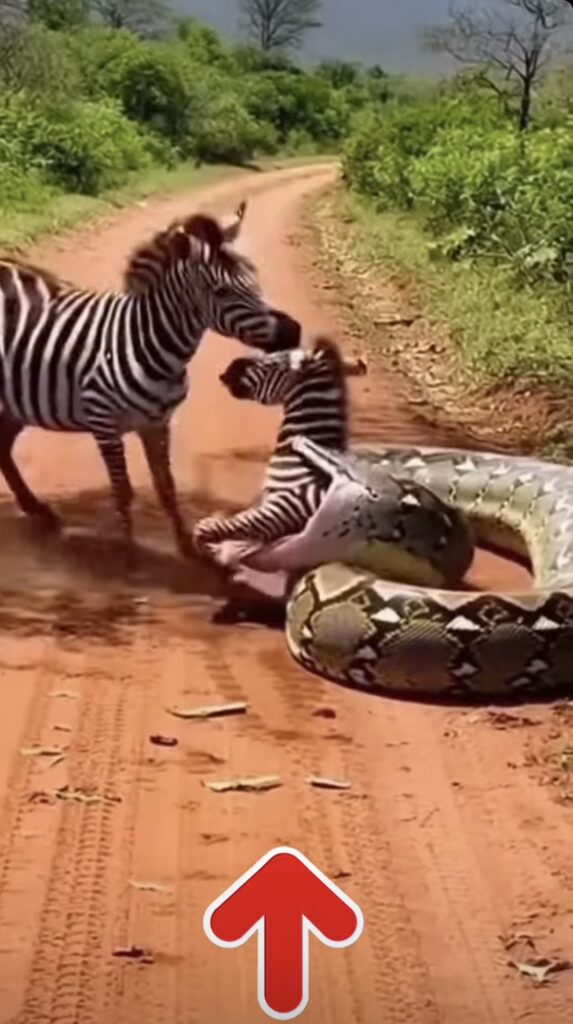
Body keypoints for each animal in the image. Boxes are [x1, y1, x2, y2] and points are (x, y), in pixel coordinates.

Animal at [0, 200, 301, 556]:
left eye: (254, 277)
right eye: (222, 291)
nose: (293, 331)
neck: (146, 341)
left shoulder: (157, 423)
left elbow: (166, 486)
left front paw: (188, 548)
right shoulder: (104, 423)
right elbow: (123, 490)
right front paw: (129, 554)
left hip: (15, 402)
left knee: (2, 448)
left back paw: (37, 509)